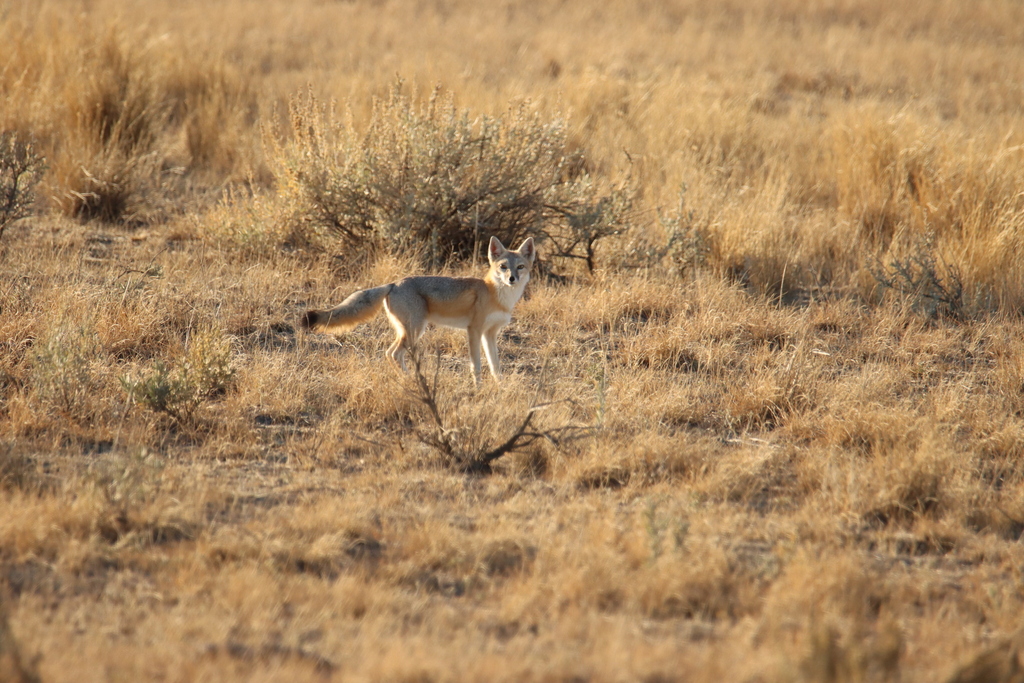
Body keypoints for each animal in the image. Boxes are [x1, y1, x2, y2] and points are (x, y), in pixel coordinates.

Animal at [301, 236, 536, 383]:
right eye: (503, 267)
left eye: (520, 267)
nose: (512, 279)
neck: (496, 295)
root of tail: (394, 283)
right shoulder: (474, 330)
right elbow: (476, 366)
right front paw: (478, 388)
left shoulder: (490, 333)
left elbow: (496, 366)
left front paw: (500, 386)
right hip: (415, 331)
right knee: (392, 353)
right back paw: (412, 379)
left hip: (408, 332)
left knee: (391, 353)